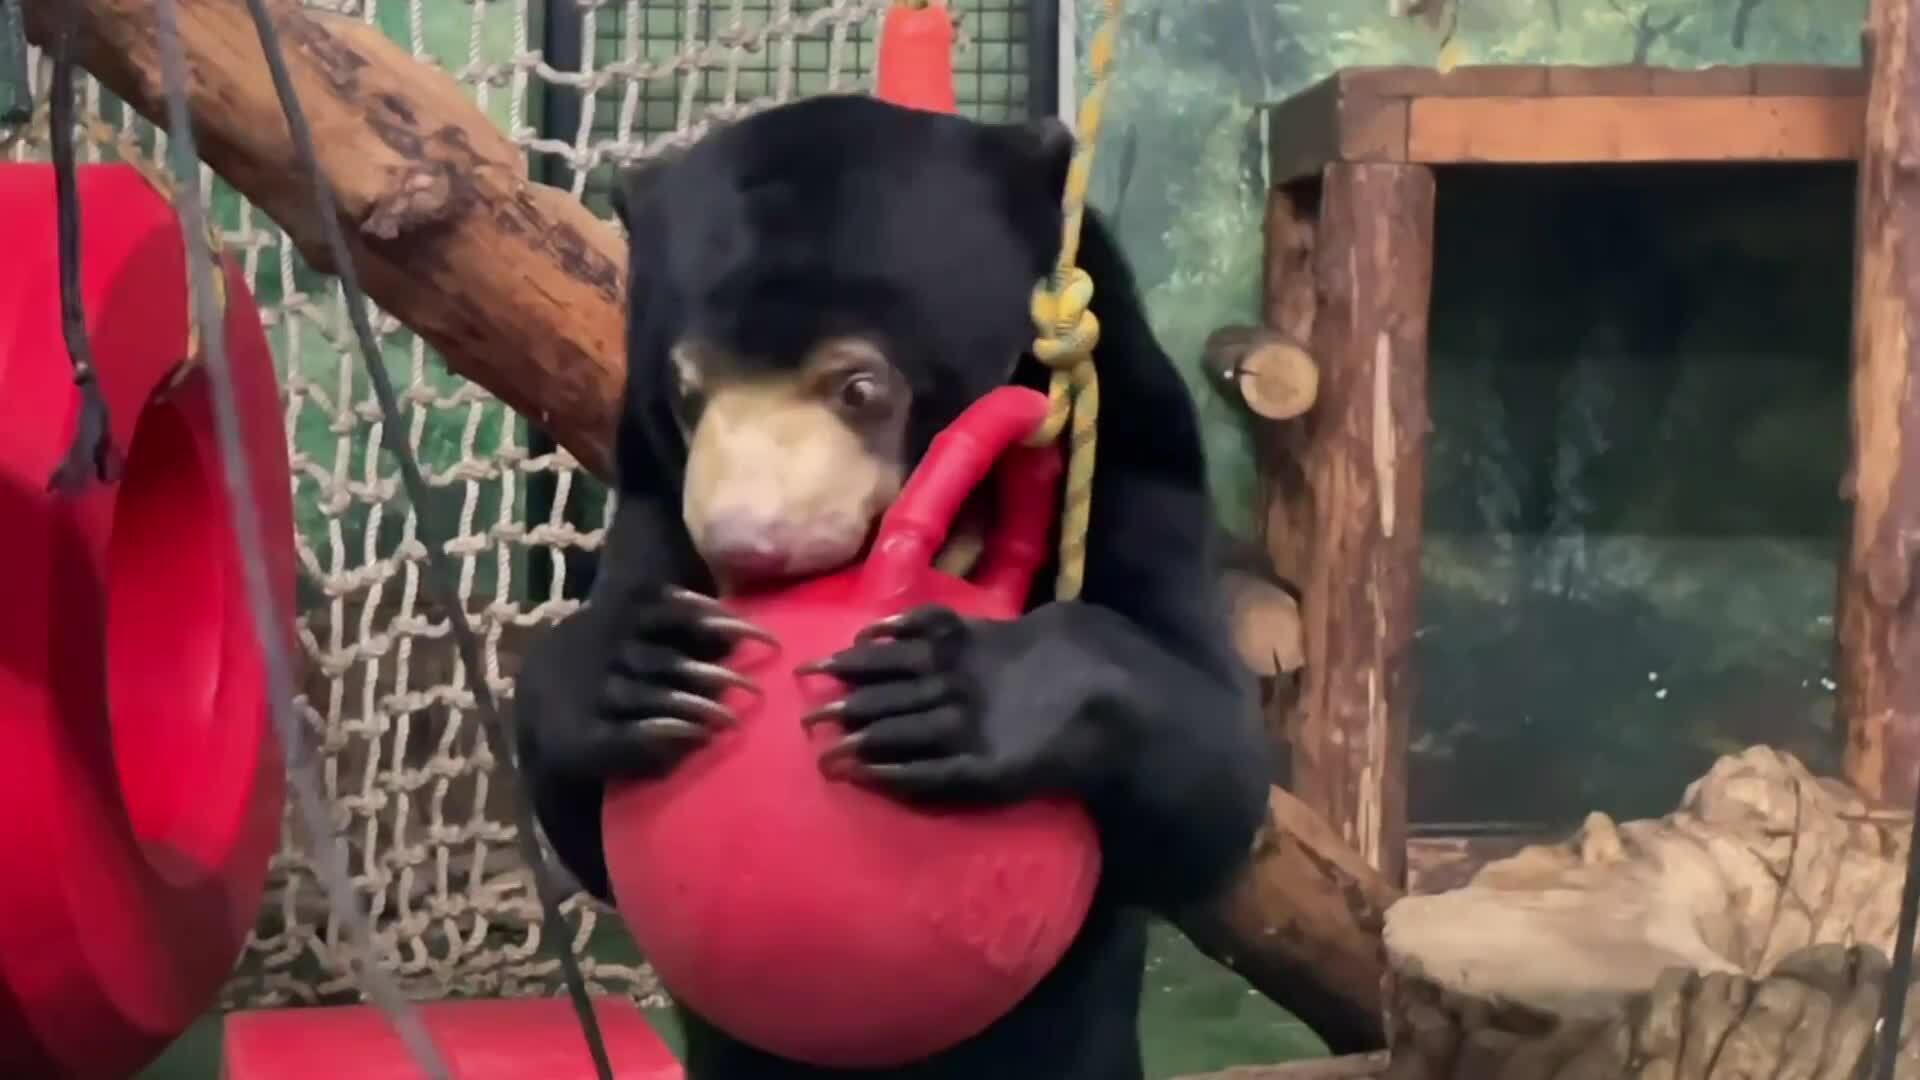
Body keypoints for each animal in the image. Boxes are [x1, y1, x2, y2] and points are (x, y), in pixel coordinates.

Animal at [513, 93, 1272, 1079]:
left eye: (860, 386)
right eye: (686, 392)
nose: (746, 546)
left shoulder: (1139, 456)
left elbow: (1218, 769)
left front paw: (944, 688)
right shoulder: (651, 497)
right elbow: (588, 834)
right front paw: (640, 666)